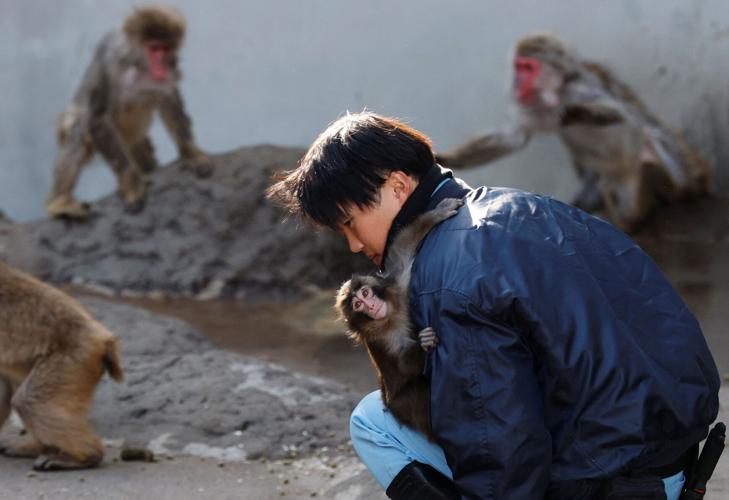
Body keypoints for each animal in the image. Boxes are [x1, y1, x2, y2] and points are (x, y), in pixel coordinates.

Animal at [45, 5, 213, 219]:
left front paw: (191, 153)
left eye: (167, 48)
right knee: (80, 127)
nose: (162, 66)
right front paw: (130, 183)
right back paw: (58, 202)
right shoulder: (111, 64)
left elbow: (170, 101)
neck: (138, 65)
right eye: (154, 49)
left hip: (136, 142)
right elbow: (97, 119)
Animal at [335, 197, 463, 439]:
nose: (372, 306)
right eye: (358, 305)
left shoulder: (398, 286)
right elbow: (404, 367)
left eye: (365, 293)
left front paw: (437, 214)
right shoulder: (381, 338)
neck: (390, 317)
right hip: (401, 406)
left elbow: (403, 248)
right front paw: (424, 344)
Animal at [436, 33, 713, 232]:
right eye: (518, 67)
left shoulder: (580, 88)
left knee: (649, 139)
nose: (516, 84)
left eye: (528, 68)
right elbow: (514, 138)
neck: (558, 87)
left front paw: (570, 112)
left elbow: (623, 117)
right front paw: (442, 158)